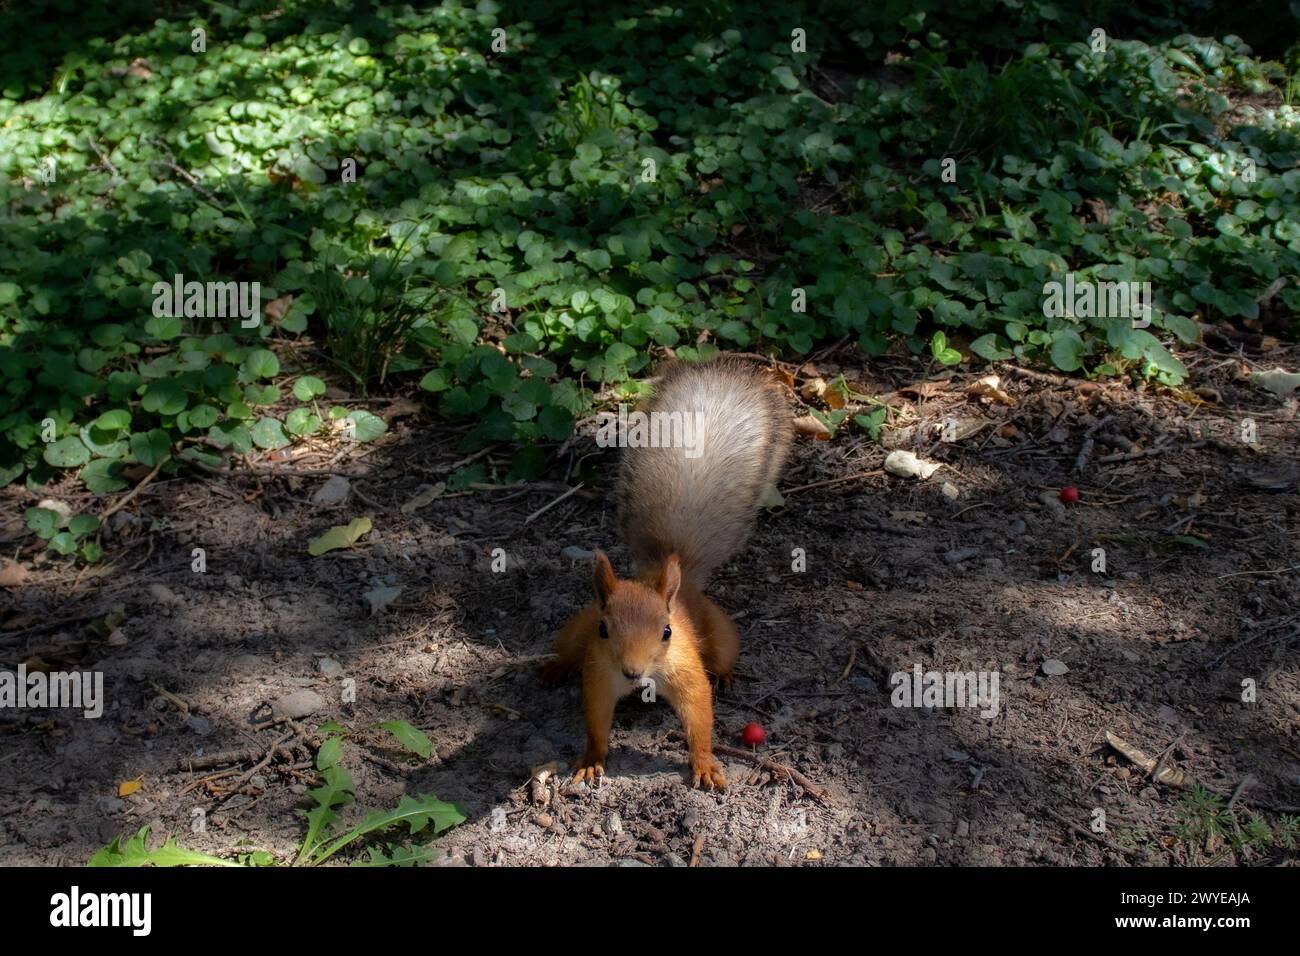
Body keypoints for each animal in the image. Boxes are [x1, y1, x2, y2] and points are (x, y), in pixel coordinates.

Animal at [543, 357, 791, 790]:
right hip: (575, 631)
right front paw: (592, 759)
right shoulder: (598, 673)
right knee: (568, 649)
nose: (632, 671)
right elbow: (595, 721)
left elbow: (699, 714)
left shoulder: (686, 669)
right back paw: (556, 667)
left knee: (723, 653)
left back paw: (726, 674)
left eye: (667, 631)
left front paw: (705, 764)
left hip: (719, 634)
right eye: (604, 629)